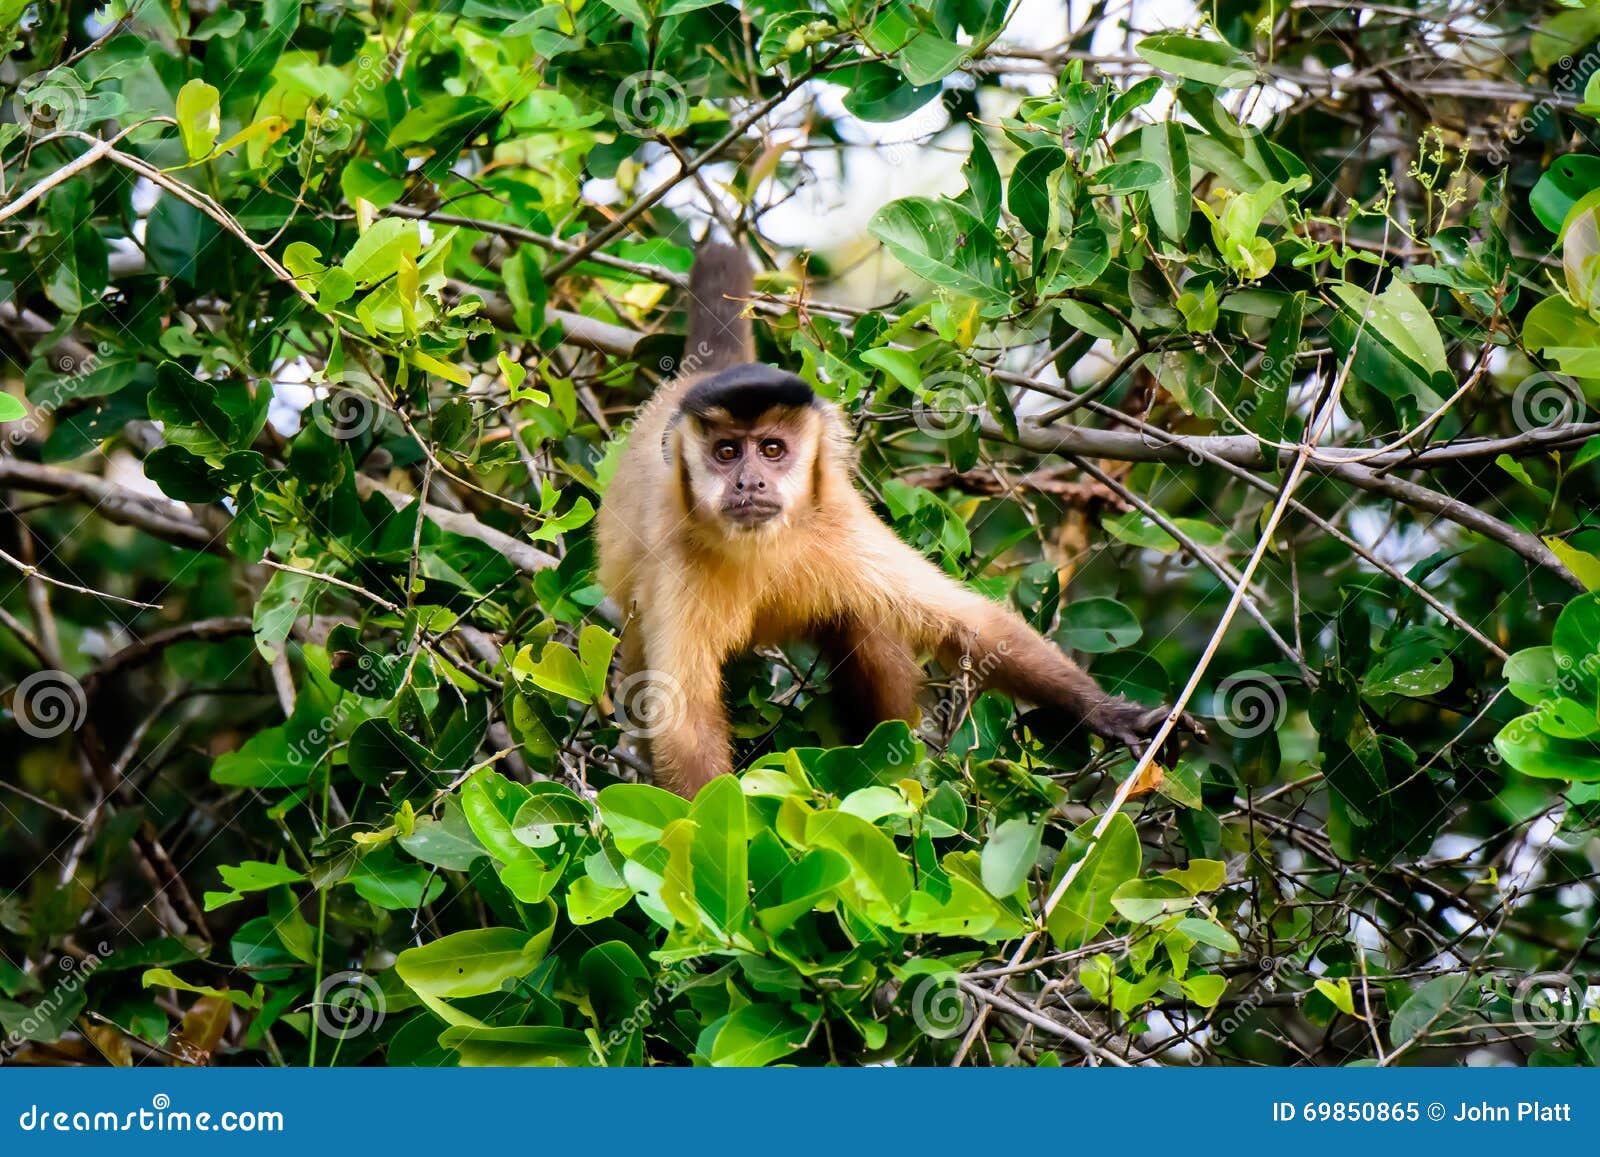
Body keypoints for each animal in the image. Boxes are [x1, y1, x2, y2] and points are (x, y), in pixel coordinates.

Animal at [595, 240, 1204, 799]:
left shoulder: (837, 520)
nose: (749, 483)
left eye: (770, 450)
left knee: (863, 618)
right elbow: (681, 722)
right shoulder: (676, 557)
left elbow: (974, 626)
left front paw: (1114, 715)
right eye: (725, 453)